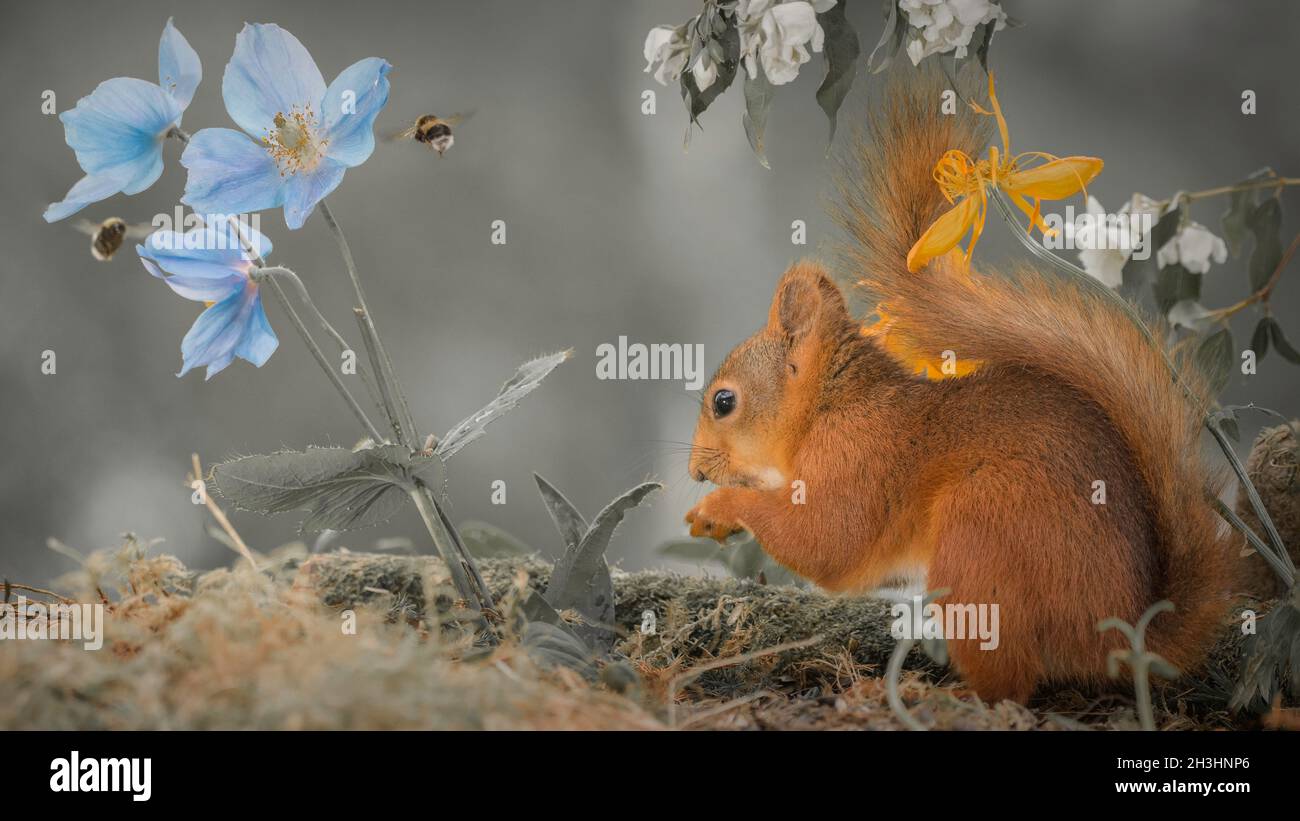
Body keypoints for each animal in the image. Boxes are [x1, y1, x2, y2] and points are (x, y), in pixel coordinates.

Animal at [684, 72, 1238, 704]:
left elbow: (827, 543)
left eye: (724, 402)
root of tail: (1122, 633)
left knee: (1009, 683)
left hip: (982, 532)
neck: (830, 406)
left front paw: (720, 505)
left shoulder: (857, 459)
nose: (694, 471)